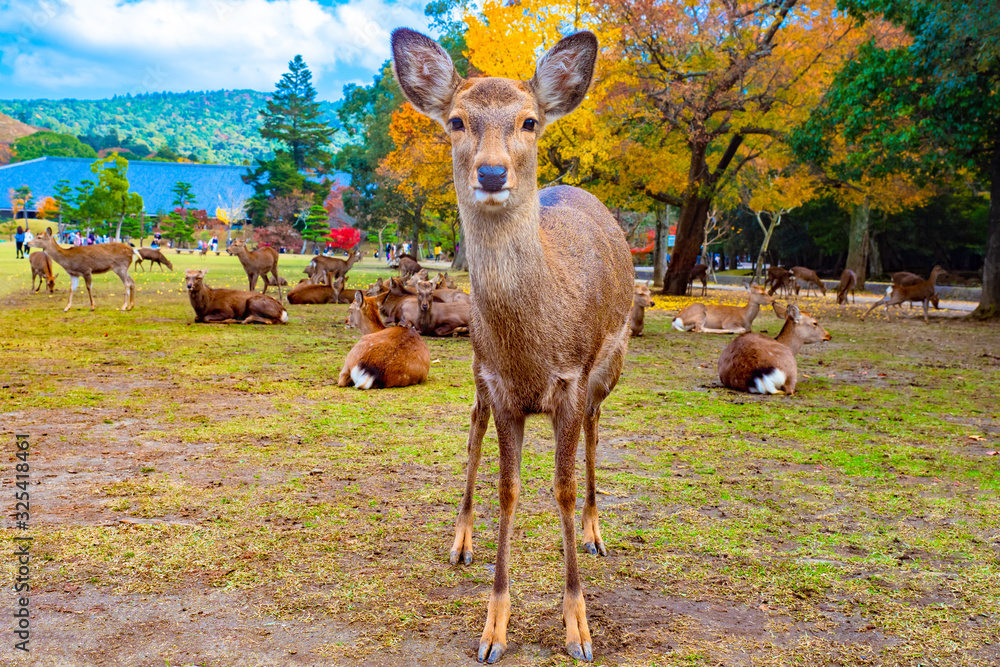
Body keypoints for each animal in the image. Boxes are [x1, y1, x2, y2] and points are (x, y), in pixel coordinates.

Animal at [393, 28, 633, 663]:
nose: (493, 173)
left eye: (529, 121)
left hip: (609, 369)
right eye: (456, 121)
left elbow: (563, 489)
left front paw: (579, 630)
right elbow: (507, 488)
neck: (532, 344)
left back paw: (596, 533)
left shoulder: (571, 381)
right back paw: (460, 541)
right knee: (472, 431)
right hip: (477, 368)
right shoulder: (501, 386)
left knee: (596, 432)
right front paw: (493, 629)